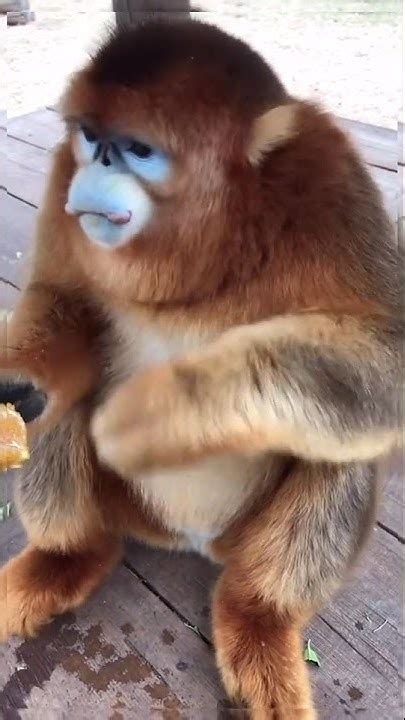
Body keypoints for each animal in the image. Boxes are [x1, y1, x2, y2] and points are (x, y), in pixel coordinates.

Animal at [0, 19, 402, 719]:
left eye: (137, 150)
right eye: (91, 138)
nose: (96, 167)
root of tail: (190, 538)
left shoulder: (335, 181)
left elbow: (388, 357)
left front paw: (159, 414)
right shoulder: (60, 176)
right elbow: (62, 302)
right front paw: (13, 382)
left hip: (241, 534)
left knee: (343, 446)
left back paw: (259, 619)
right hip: (130, 508)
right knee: (64, 409)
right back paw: (67, 556)